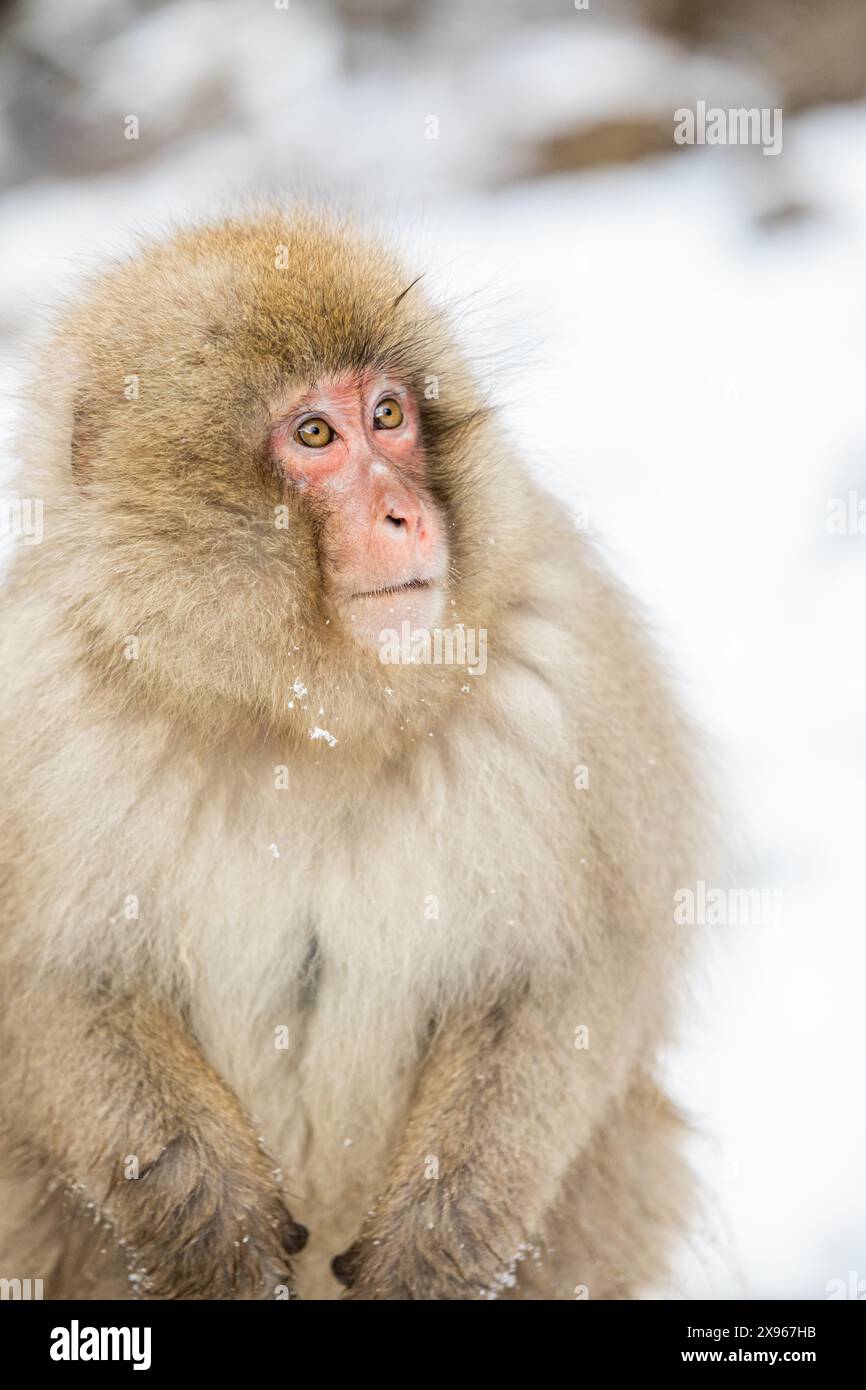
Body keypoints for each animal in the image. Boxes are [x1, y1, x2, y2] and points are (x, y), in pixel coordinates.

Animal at [0, 207, 710, 1300]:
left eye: (388, 415)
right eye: (313, 436)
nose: (404, 514)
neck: (304, 720)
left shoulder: (562, 684)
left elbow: (566, 981)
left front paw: (435, 1248)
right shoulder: (40, 716)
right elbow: (50, 987)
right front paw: (213, 1235)